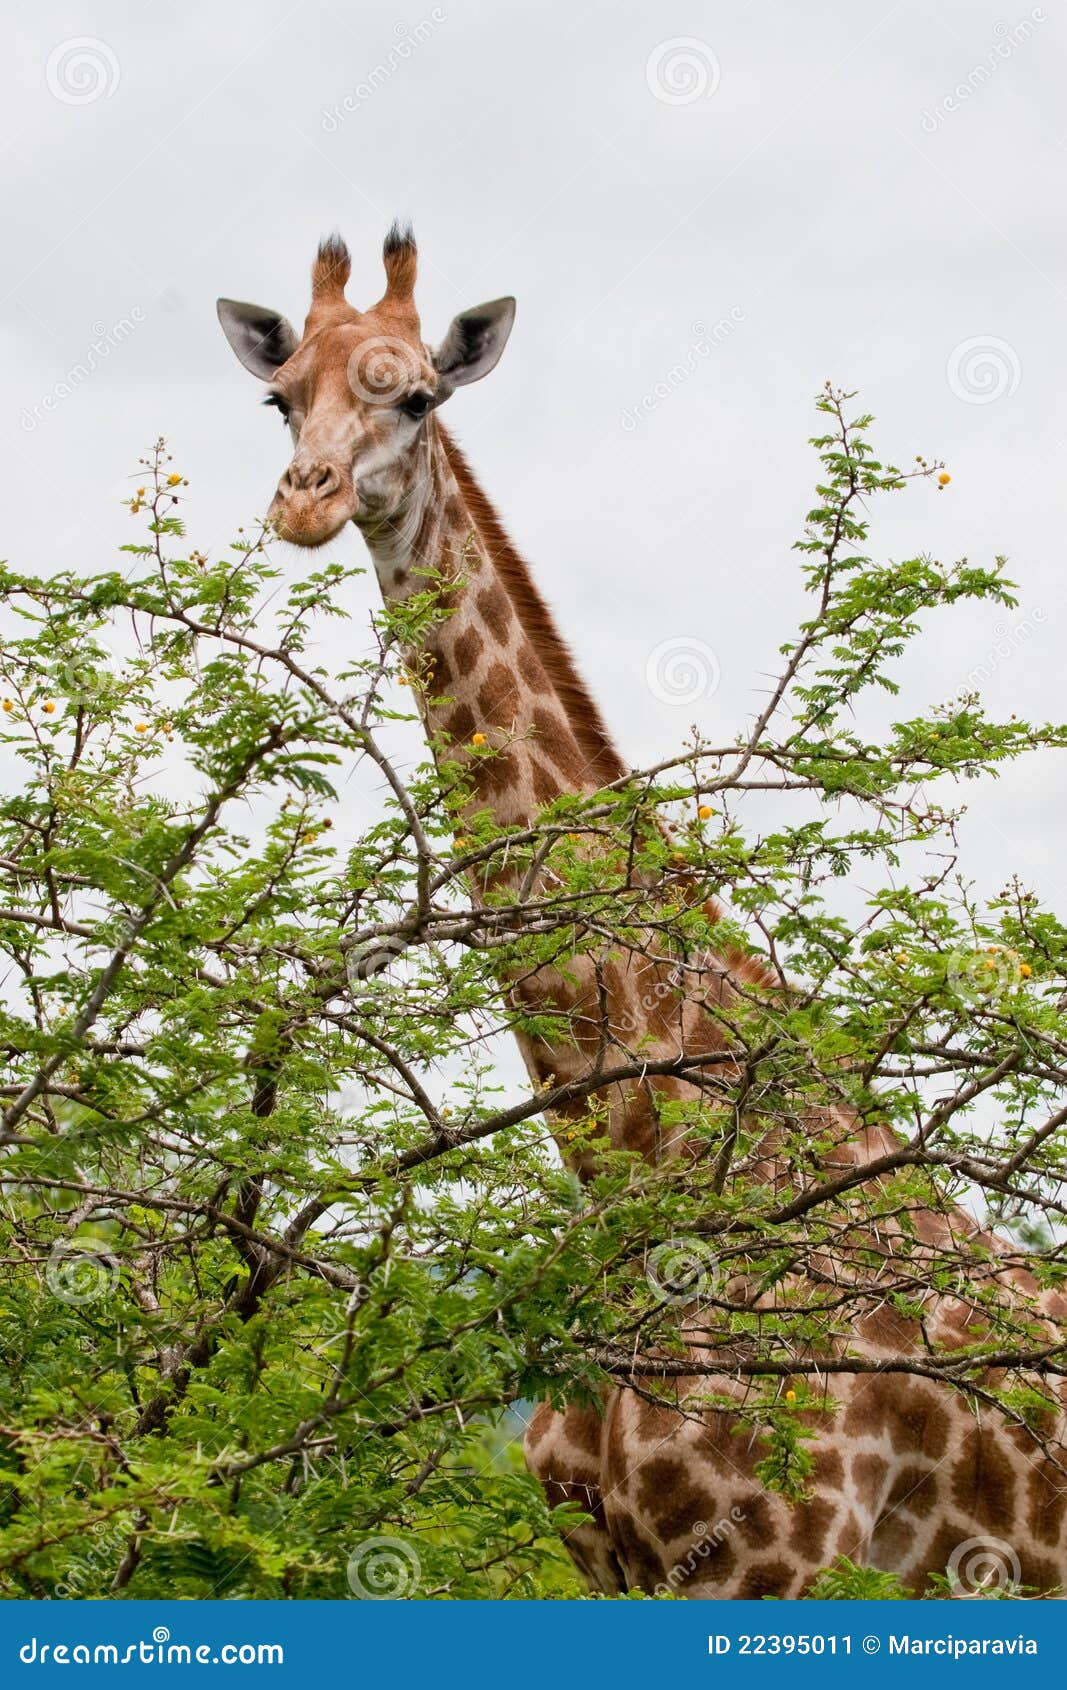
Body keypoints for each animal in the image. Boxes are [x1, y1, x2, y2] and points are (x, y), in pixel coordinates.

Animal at [218, 225, 1067, 1599]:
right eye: (280, 396)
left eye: (419, 396)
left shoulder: (762, 1559)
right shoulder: (606, 1558)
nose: (306, 498)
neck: (642, 1152)